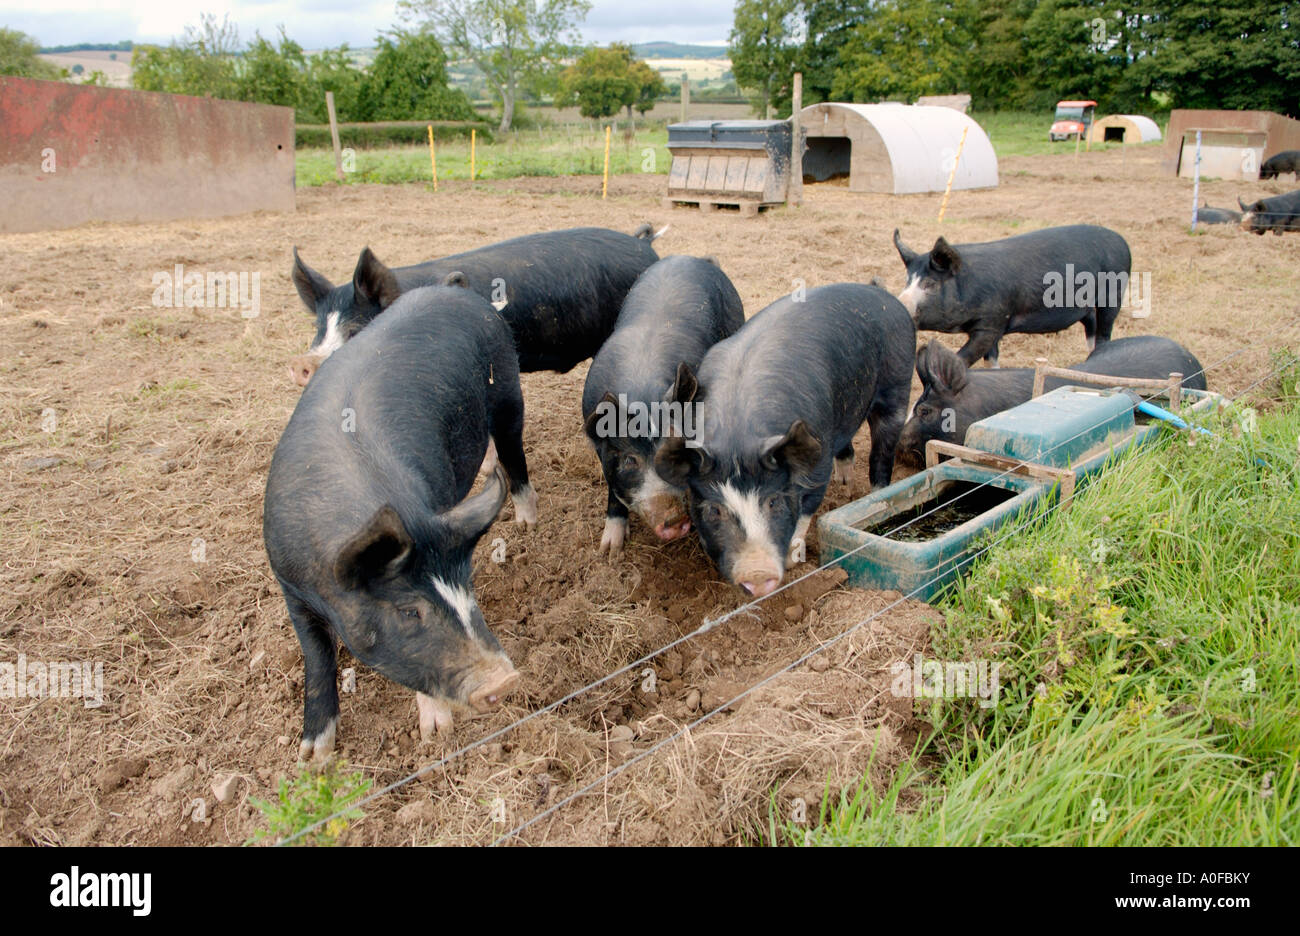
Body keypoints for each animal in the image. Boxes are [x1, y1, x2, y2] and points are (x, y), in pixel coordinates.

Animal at [263, 276, 535, 762]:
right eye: (409, 610)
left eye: (469, 591)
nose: (505, 679)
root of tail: (454, 289)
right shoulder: (288, 584)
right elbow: (316, 659)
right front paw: (313, 758)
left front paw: (436, 734)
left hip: (507, 391)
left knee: (514, 453)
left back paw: (526, 522)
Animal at [581, 255, 744, 555]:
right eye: (630, 459)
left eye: (677, 452)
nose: (675, 520)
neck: (641, 393)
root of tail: (694, 258)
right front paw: (610, 552)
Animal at [655, 283, 915, 597]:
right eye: (715, 509)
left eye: (774, 501)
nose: (757, 573)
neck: (737, 436)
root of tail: (884, 295)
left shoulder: (818, 463)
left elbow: (807, 505)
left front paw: (792, 562)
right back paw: (845, 486)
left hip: (897, 384)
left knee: (882, 453)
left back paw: (873, 496)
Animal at [892, 225, 1131, 367]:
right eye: (907, 280)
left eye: (930, 284)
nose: (901, 304)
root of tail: (1121, 240)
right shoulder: (991, 328)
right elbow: (991, 361)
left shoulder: (992, 323)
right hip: (1087, 308)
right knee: (1091, 330)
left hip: (1114, 294)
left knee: (1104, 333)